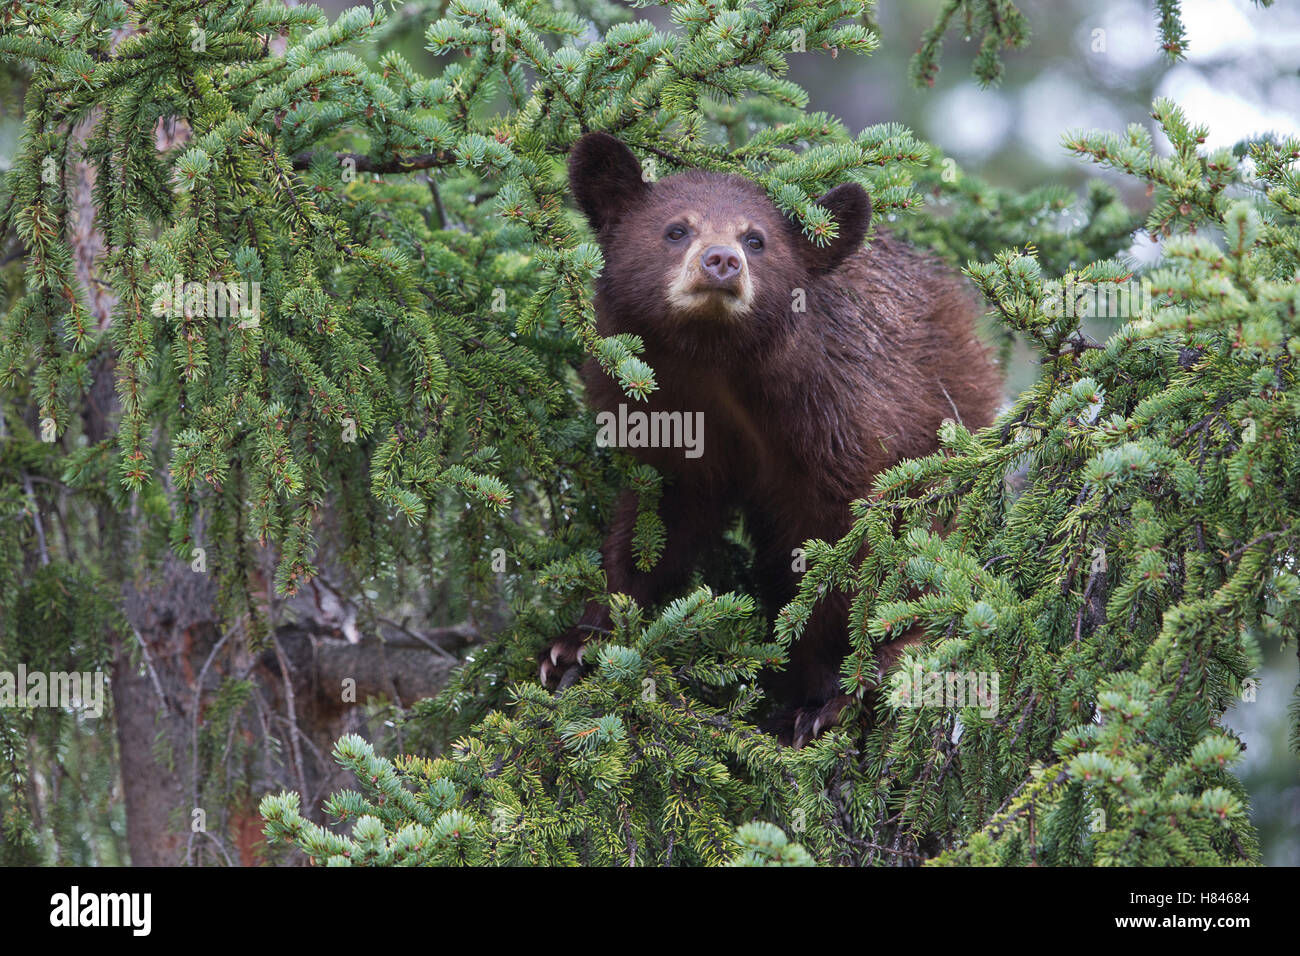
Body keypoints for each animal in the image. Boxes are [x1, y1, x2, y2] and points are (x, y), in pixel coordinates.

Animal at [541, 132, 1003, 746]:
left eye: (755, 239)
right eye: (676, 230)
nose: (721, 261)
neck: (719, 366)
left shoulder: (849, 415)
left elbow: (846, 553)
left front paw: (828, 697)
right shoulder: (664, 420)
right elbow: (653, 522)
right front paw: (580, 640)